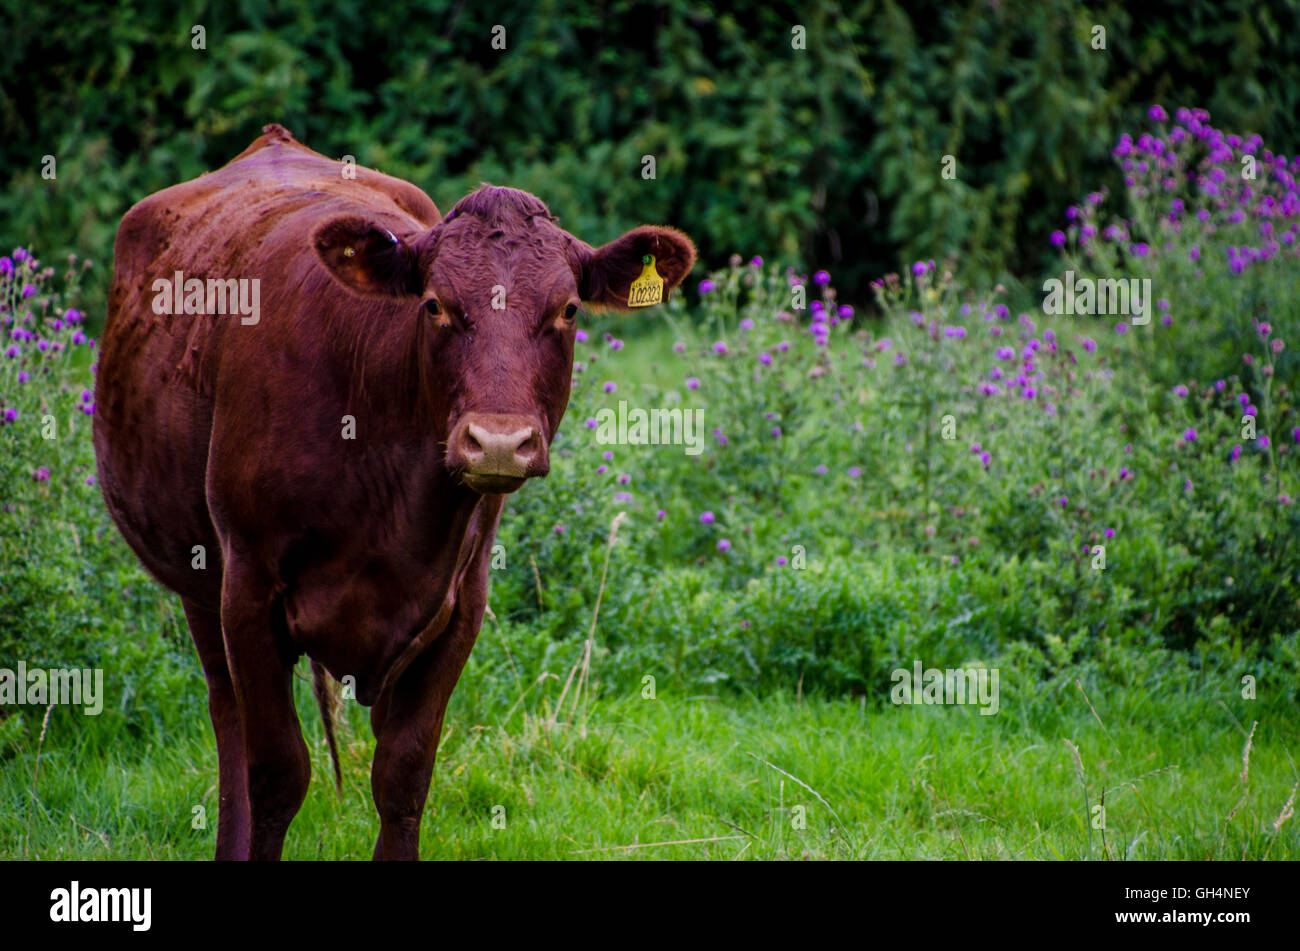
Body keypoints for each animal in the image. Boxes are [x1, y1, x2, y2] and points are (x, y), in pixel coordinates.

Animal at [93, 124, 695, 860]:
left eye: (568, 309)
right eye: (435, 305)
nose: (499, 441)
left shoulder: (459, 603)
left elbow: (404, 775)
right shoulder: (247, 587)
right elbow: (277, 773)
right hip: (197, 577)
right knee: (227, 715)